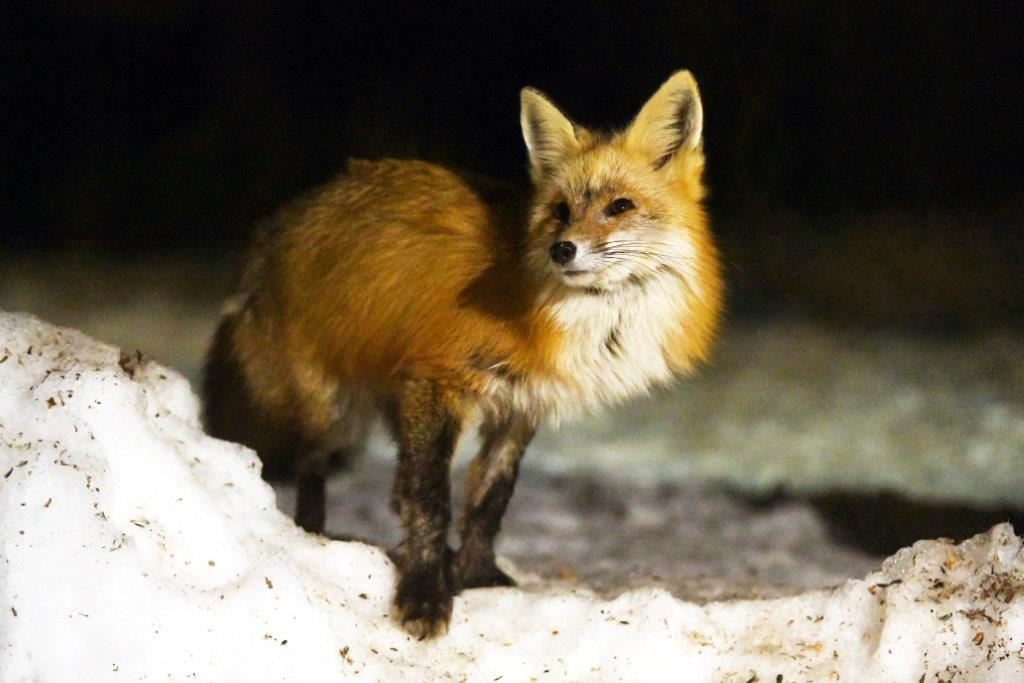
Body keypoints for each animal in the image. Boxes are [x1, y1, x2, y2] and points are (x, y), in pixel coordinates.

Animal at [202, 70, 722, 638]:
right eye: (560, 211)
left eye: (620, 206)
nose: (562, 250)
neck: (586, 321)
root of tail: (282, 221)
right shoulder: (437, 382)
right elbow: (432, 499)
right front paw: (425, 593)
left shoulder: (522, 404)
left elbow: (488, 502)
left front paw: (478, 579)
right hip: (333, 409)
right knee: (314, 465)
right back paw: (313, 535)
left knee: (391, 486)